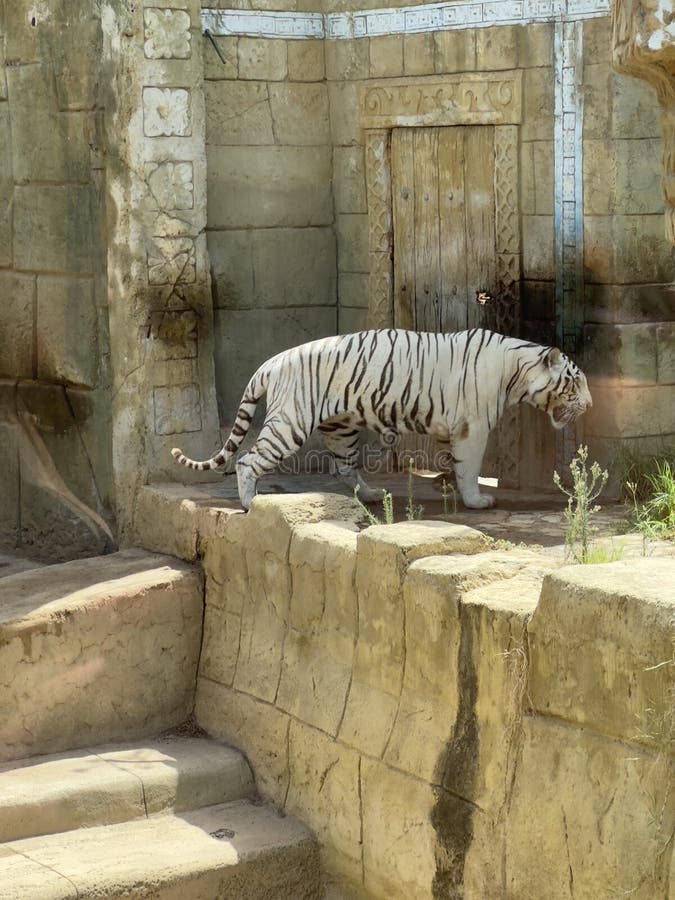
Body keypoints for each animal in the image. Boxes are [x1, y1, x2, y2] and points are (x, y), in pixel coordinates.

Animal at [172, 328, 592, 511]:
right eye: (576, 382)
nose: (589, 406)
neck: (517, 369)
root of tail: (272, 362)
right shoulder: (472, 428)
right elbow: (469, 467)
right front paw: (476, 500)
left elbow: (452, 463)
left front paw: (447, 485)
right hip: (290, 423)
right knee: (247, 460)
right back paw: (250, 502)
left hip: (341, 429)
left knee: (344, 468)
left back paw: (372, 494)